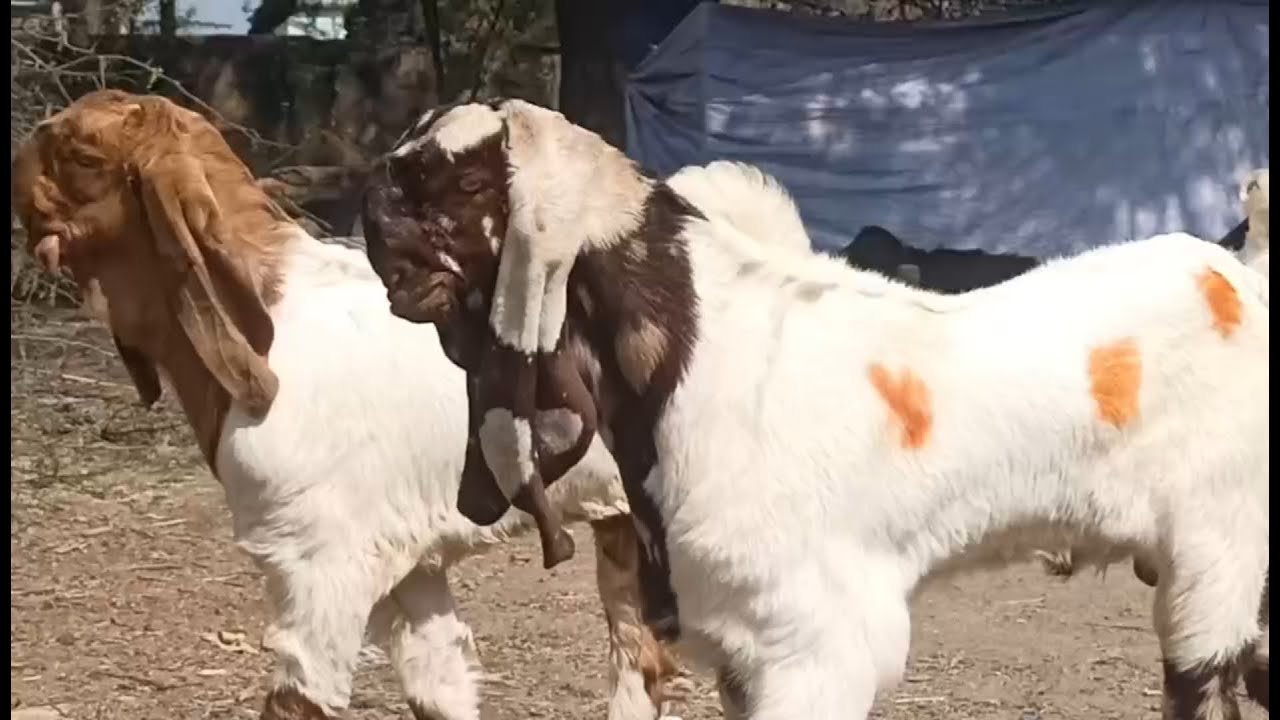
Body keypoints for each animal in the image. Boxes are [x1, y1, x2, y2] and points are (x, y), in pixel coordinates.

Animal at [10, 90, 683, 720]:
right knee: (641, 659)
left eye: (83, 156)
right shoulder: (412, 567)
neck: (268, 323)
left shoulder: (320, 569)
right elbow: (439, 684)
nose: (16, 161)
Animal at [361, 99, 1270, 720]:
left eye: (467, 182)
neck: (696, 342)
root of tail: (1235, 277)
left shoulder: (813, 638)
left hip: (1215, 555)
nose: (376, 220)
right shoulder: (740, 641)